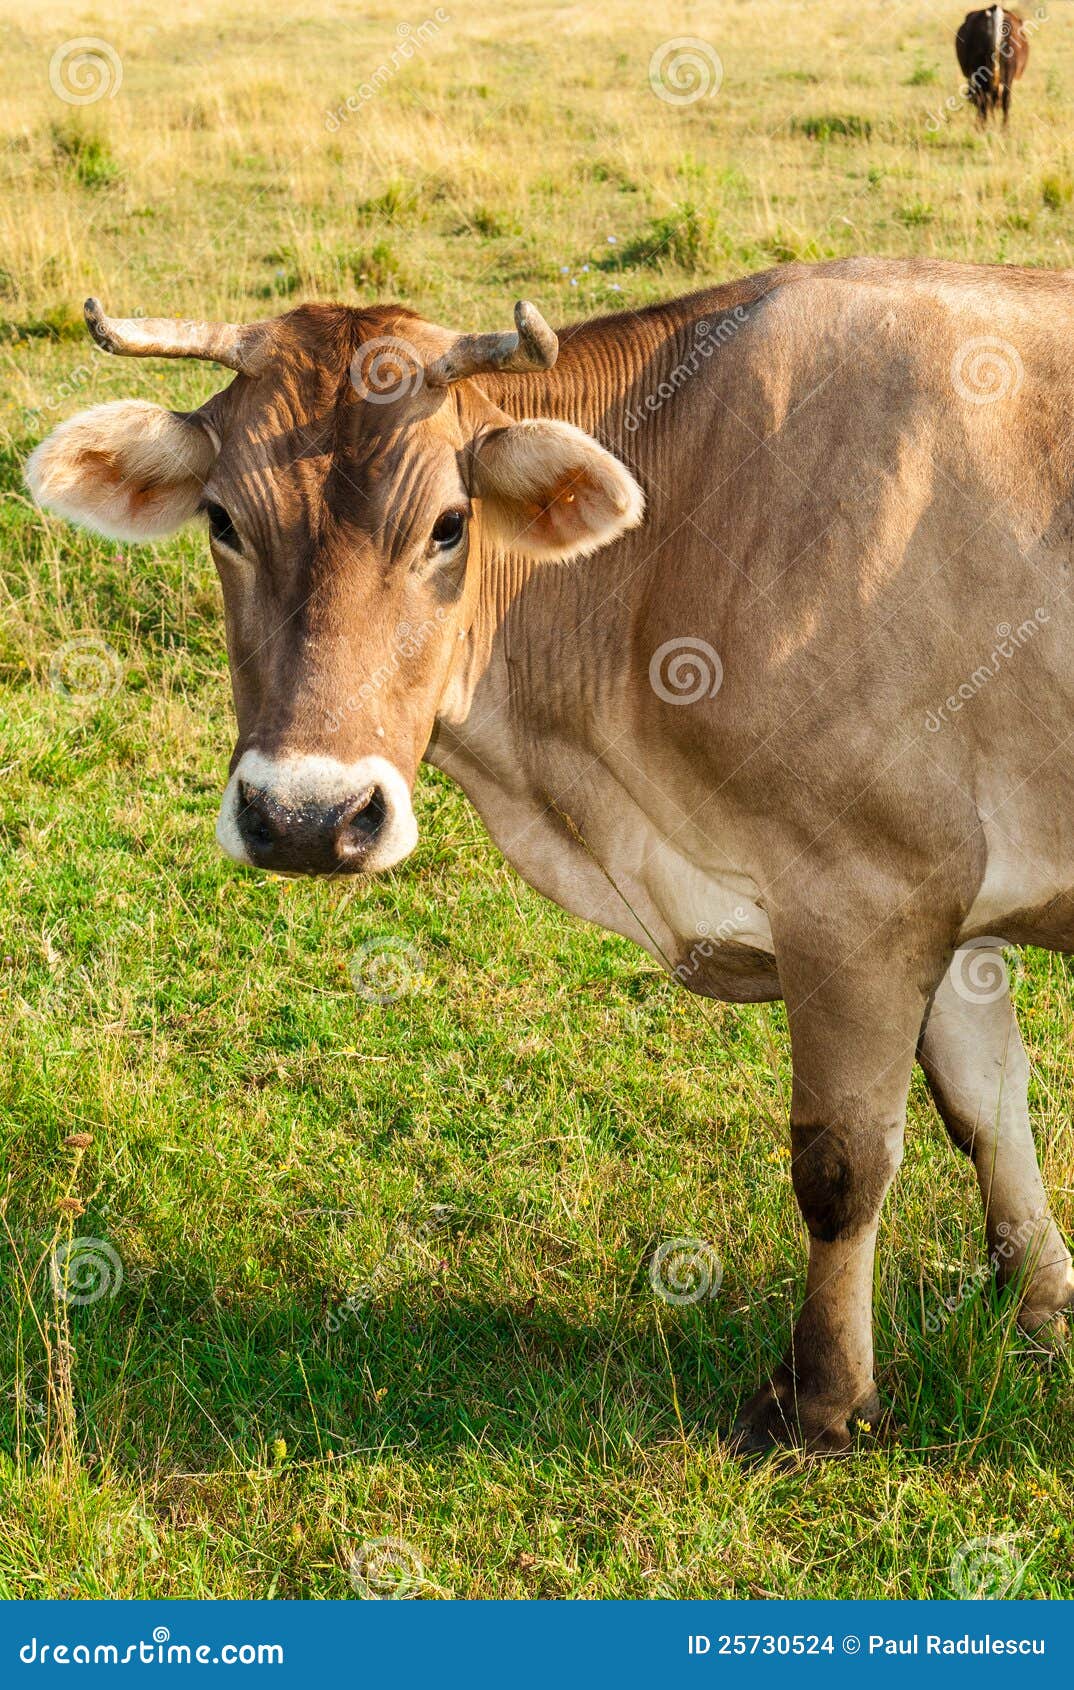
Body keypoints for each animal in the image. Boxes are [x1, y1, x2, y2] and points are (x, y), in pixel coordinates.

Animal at [25, 256, 1074, 1454]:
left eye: (448, 525)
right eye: (222, 519)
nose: (303, 815)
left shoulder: (866, 889)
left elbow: (843, 1160)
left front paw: (822, 1402)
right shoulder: (947, 897)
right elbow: (986, 1103)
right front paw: (1041, 1304)